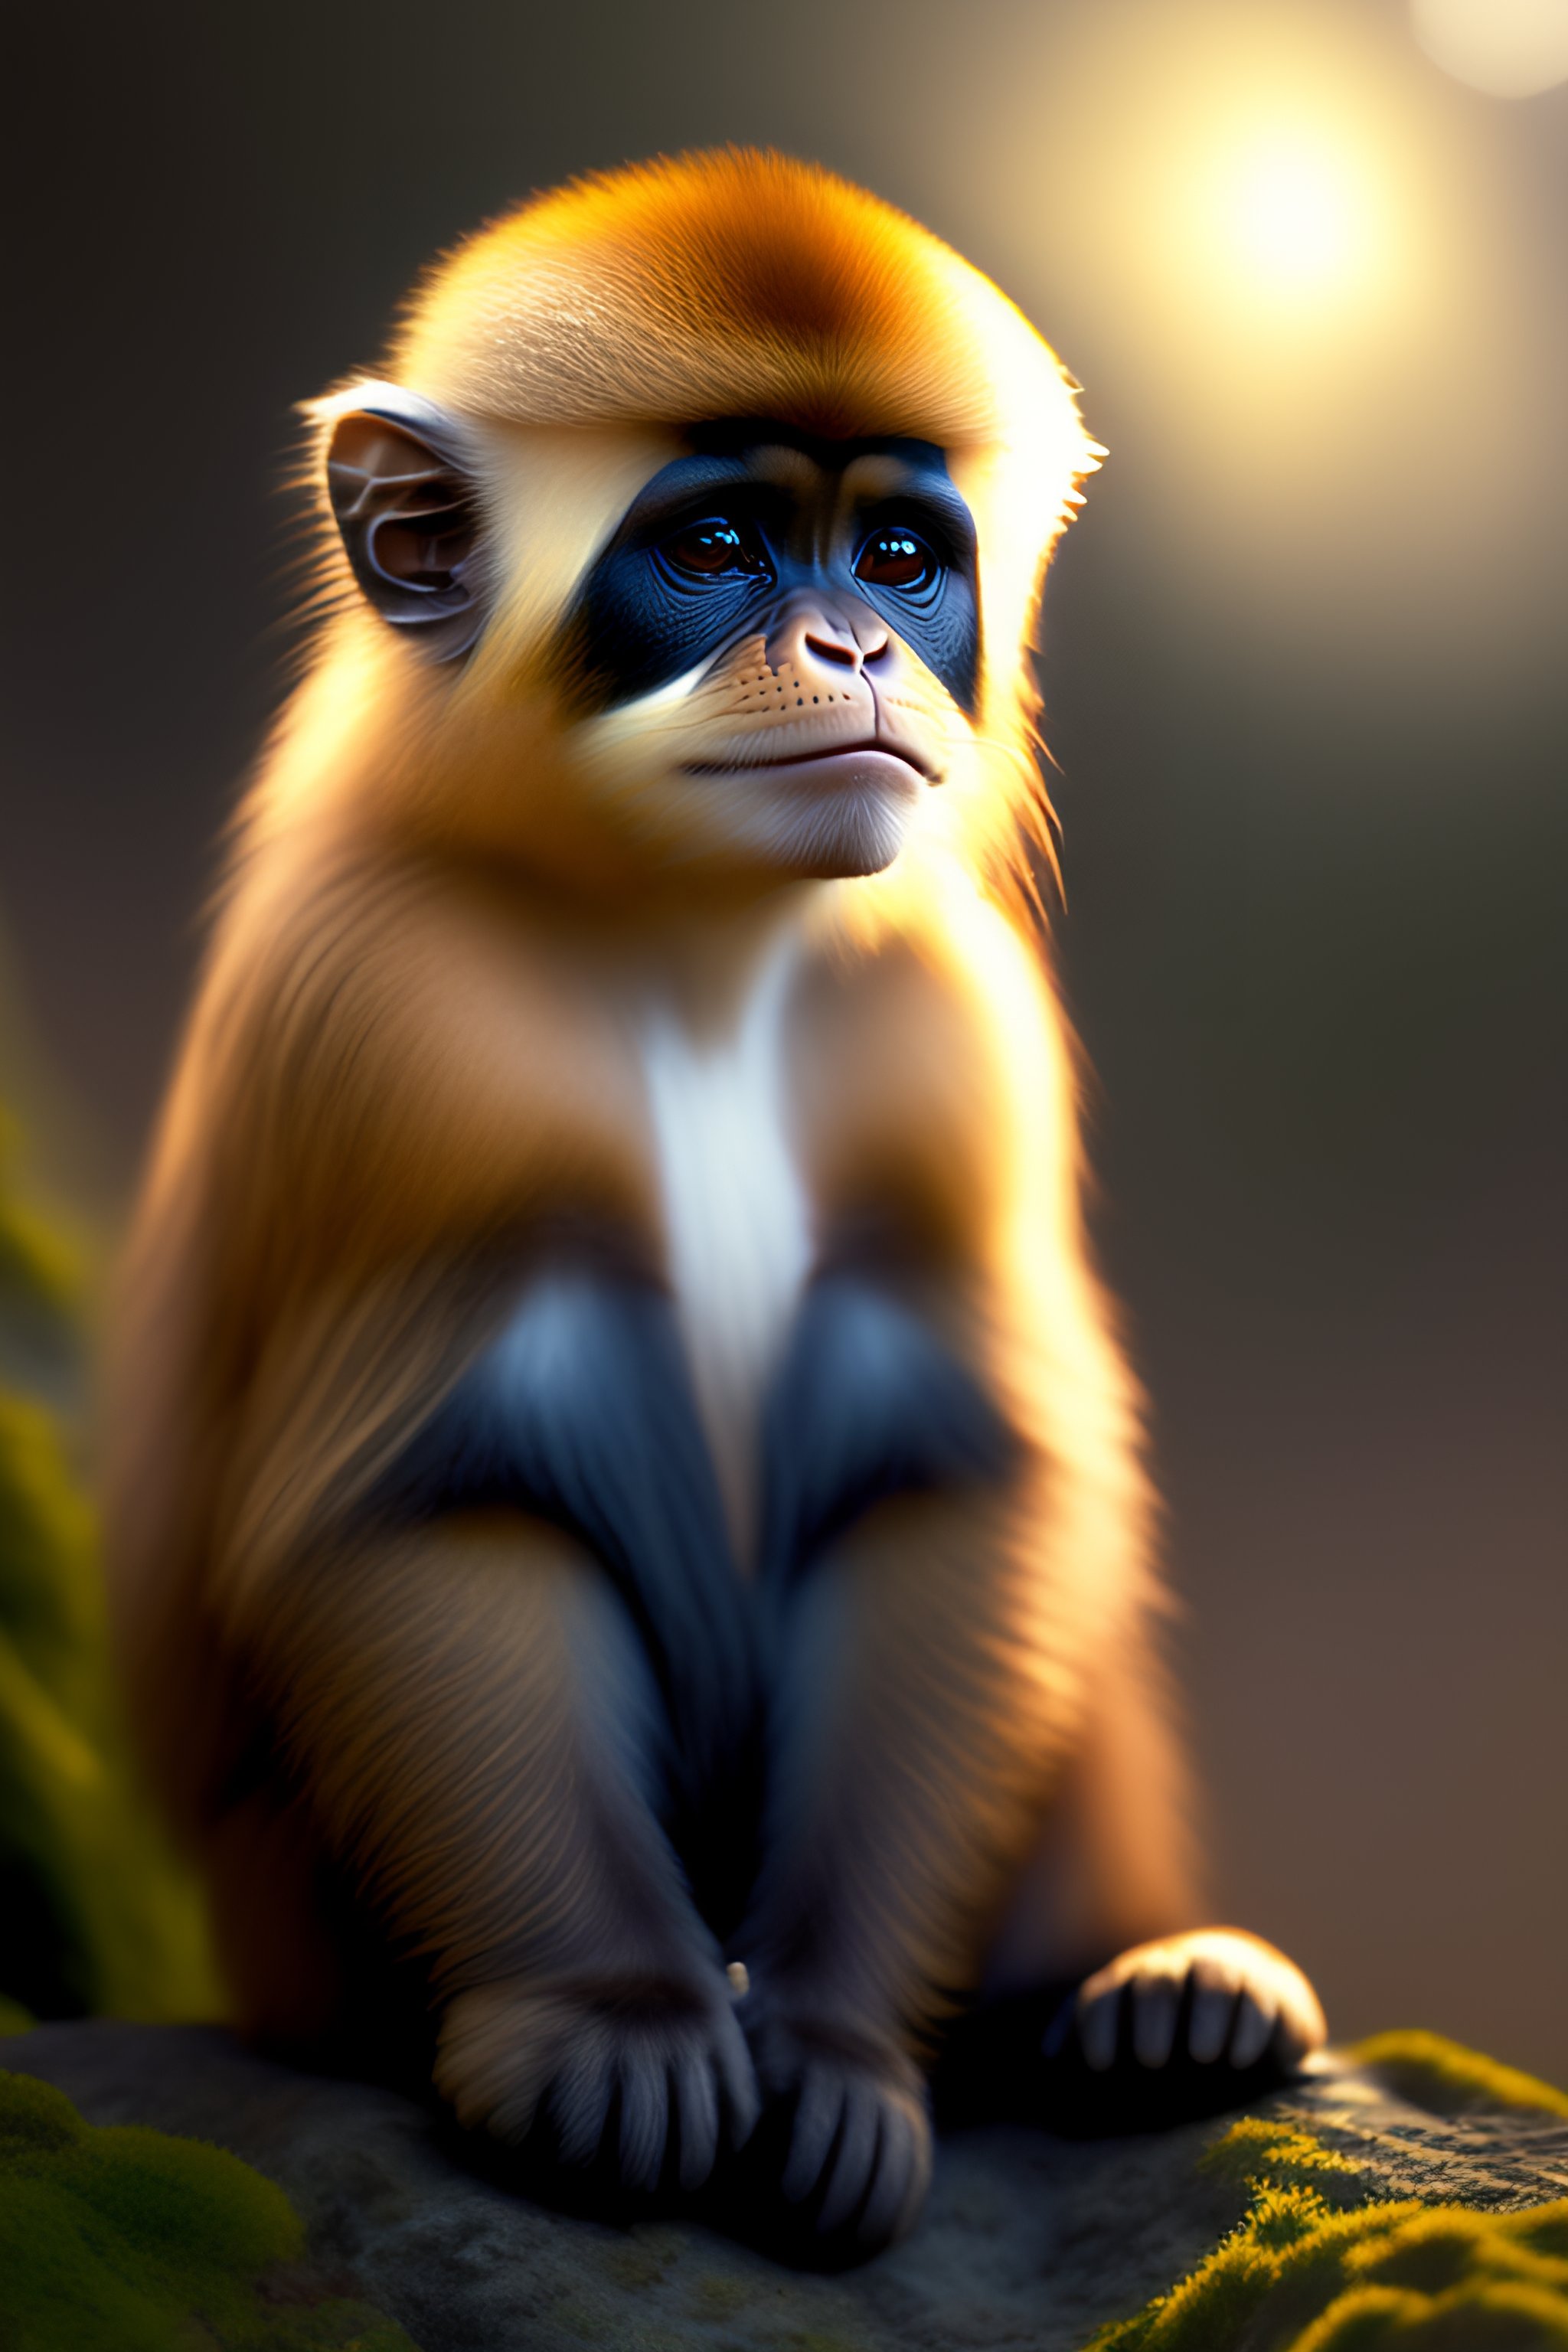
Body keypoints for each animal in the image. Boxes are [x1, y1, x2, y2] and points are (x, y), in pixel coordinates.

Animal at [105, 149, 1326, 2257]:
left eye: (900, 558)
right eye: (725, 543)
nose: (852, 652)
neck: (689, 932)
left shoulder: (951, 1024)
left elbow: (952, 1471)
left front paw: (836, 2052)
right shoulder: (395, 1017)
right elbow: (433, 1486)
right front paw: (610, 2023)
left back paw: (1138, 1992)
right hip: (296, 1923)